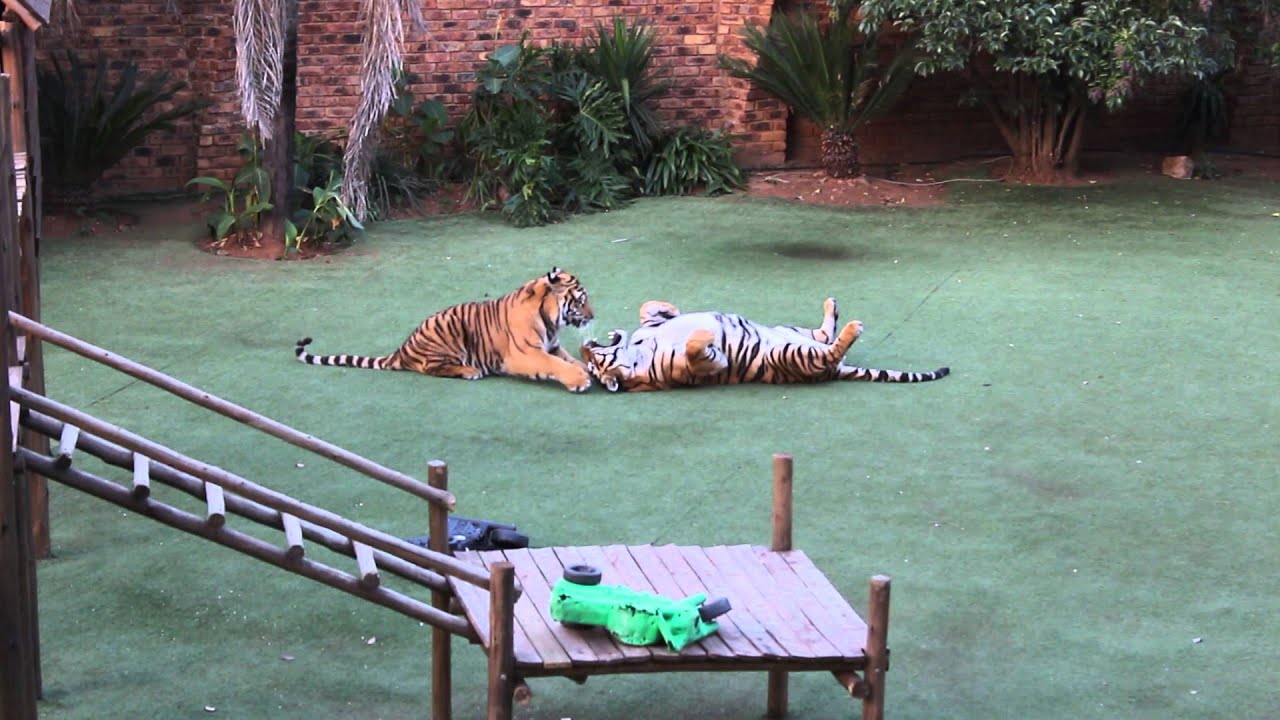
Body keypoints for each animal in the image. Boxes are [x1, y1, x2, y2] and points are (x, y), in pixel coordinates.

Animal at [295, 267, 595, 392]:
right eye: (581, 300)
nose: (594, 316)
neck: (550, 320)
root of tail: (402, 349)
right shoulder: (524, 353)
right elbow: (555, 365)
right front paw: (579, 380)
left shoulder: (552, 346)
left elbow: (568, 359)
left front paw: (589, 369)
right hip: (448, 338)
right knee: (432, 368)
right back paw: (470, 371)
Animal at [578, 297, 949, 392]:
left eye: (592, 360)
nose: (584, 348)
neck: (636, 352)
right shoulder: (699, 367)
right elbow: (695, 350)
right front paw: (707, 336)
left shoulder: (649, 325)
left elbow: (647, 307)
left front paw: (674, 311)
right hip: (790, 353)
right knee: (829, 351)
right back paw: (852, 327)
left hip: (789, 331)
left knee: (823, 334)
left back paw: (832, 306)